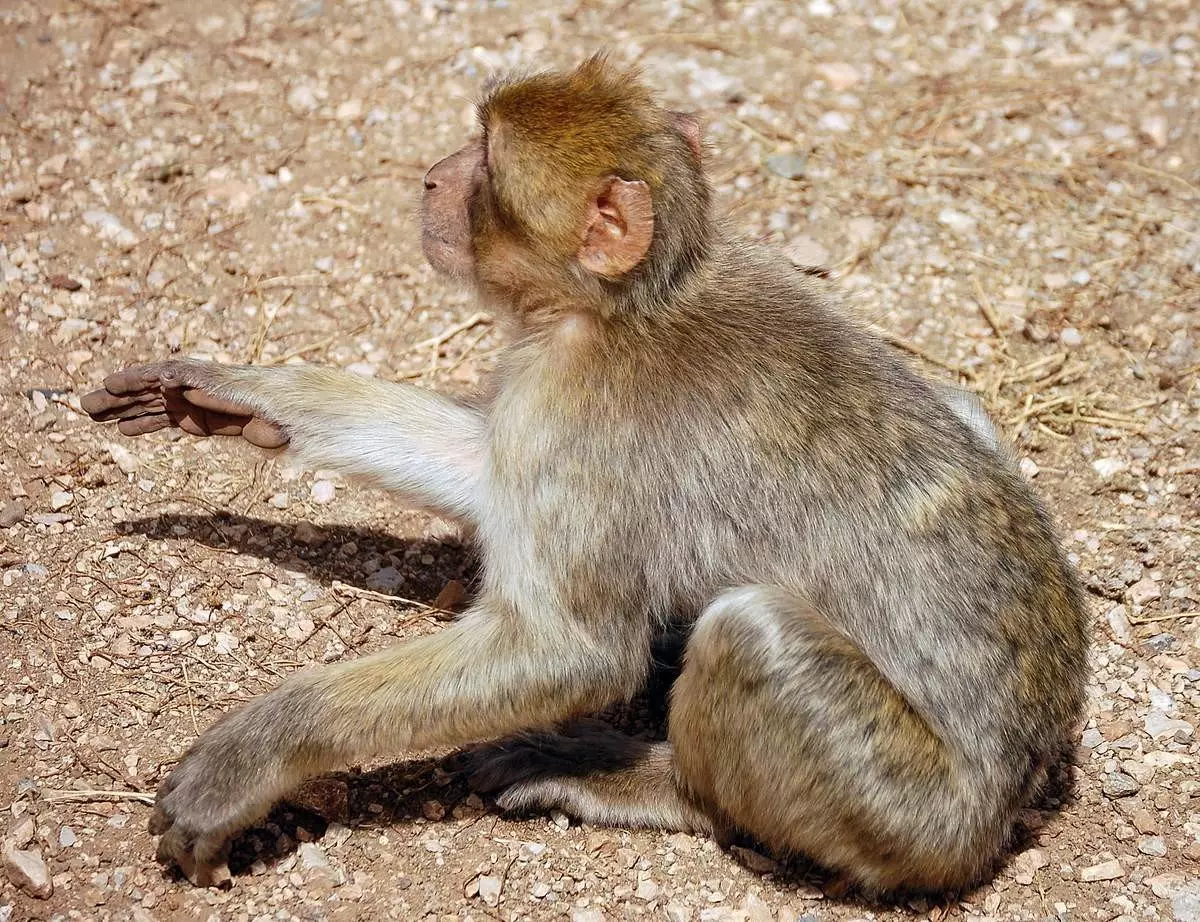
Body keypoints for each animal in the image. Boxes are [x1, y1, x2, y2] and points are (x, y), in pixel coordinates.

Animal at [82, 55, 1089, 893]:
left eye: (486, 161)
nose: (432, 176)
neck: (624, 301)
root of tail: (1019, 785)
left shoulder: (576, 415)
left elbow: (568, 649)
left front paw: (258, 749)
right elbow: (478, 467)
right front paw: (239, 395)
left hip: (911, 815)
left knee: (751, 635)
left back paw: (646, 782)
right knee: (957, 404)